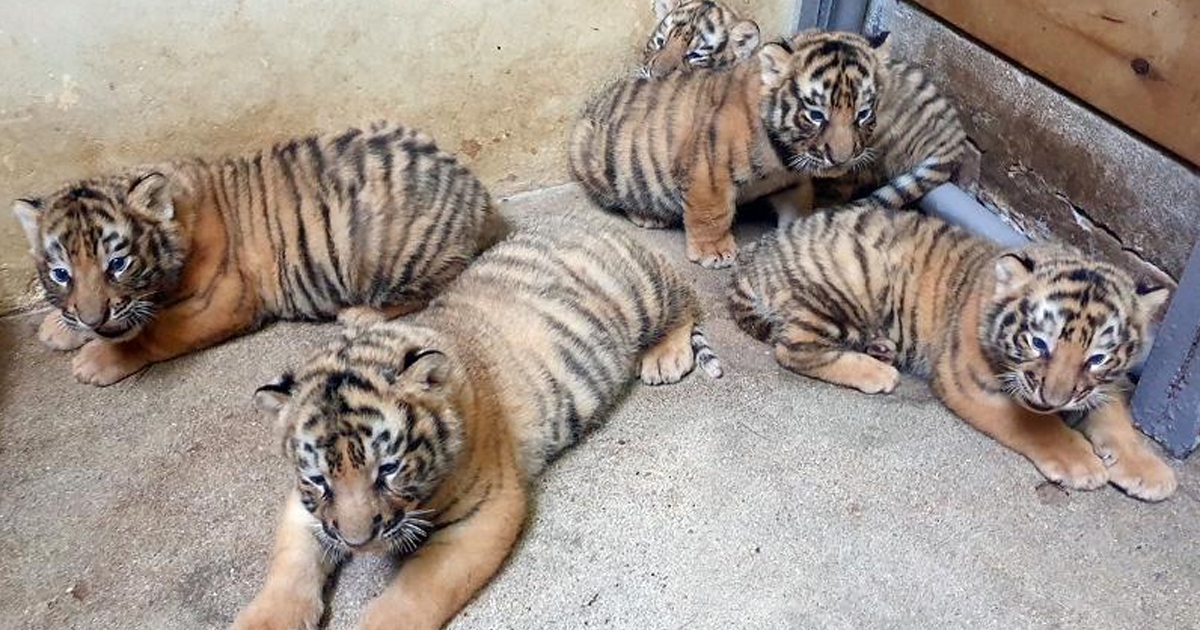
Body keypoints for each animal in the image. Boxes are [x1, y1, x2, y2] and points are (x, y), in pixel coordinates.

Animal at [11, 121, 503, 386]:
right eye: (61, 274)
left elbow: (153, 333)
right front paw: (59, 327)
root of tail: (479, 197)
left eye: (118, 264)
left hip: (382, 250)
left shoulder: (221, 302)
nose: (92, 320)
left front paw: (96, 360)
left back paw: (360, 314)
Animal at [229, 211, 722, 630]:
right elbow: (290, 567)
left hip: (645, 294)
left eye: (387, 469)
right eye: (319, 479)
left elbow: (413, 595)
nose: (357, 542)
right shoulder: (303, 508)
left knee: (685, 305)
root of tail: (591, 222)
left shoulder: (484, 513)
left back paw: (664, 356)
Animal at [570, 30, 891, 268]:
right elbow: (712, 212)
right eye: (815, 115)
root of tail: (591, 105)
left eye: (863, 114)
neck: (784, 155)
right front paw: (714, 252)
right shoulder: (709, 171)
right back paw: (648, 215)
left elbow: (799, 203)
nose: (842, 158)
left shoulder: (791, 180)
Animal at [730, 202, 1176, 501]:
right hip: (852, 279)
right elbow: (1034, 424)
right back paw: (876, 372)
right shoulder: (967, 382)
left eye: (1096, 358)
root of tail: (759, 251)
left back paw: (880, 348)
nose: (1054, 400)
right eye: (1039, 343)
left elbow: (1116, 419)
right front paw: (1081, 462)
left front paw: (1150, 472)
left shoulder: (1105, 385)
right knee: (793, 349)